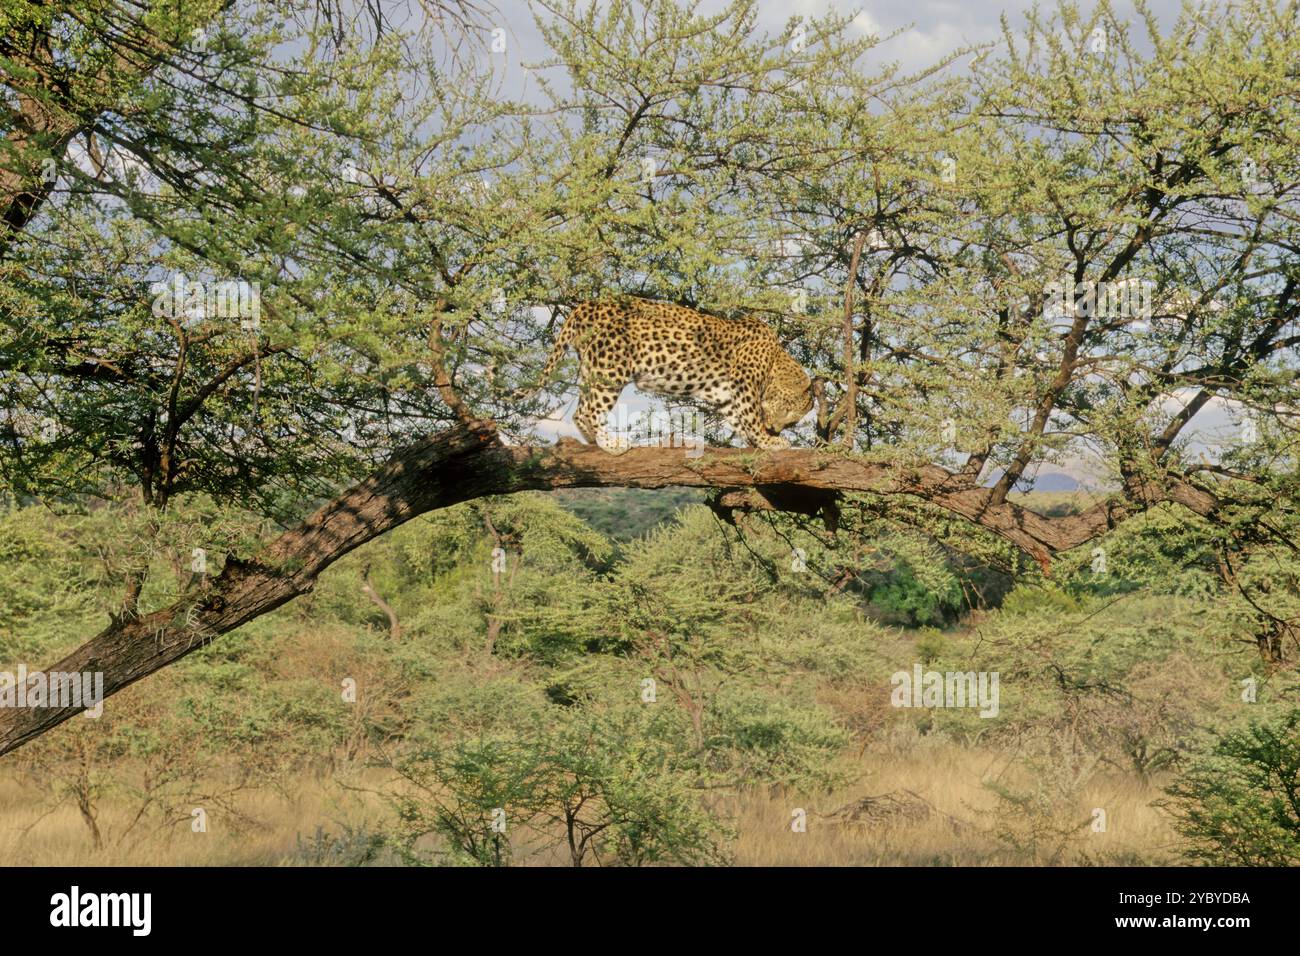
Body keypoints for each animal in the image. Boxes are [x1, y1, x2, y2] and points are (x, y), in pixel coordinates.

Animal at [524, 296, 813, 452]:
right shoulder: (744, 385)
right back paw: (612, 444)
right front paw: (769, 441)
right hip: (611, 369)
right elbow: (751, 417)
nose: (776, 429)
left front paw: (758, 441)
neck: (776, 360)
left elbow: (739, 421)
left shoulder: (727, 395)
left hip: (592, 368)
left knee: (580, 411)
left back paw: (594, 440)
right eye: (788, 411)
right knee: (589, 410)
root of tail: (587, 304)